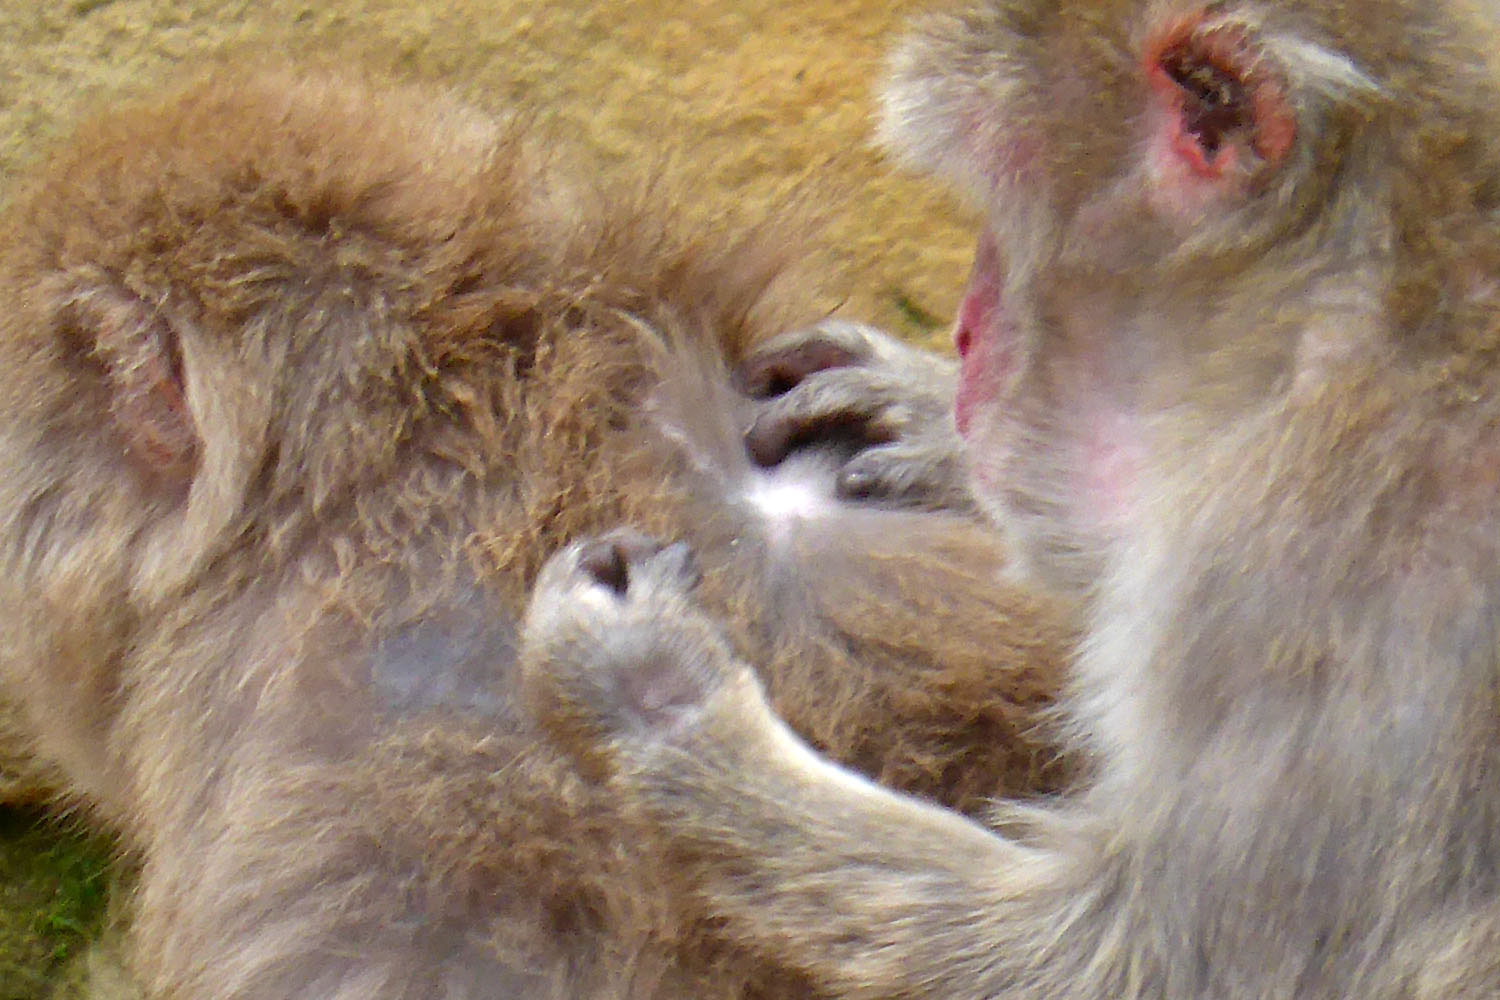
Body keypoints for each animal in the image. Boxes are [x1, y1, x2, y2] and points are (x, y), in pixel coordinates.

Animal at [521, 0, 1500, 997]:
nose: (963, 332)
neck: (1343, 310)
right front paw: (919, 418)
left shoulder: (1319, 563)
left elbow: (1154, 964)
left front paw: (651, 703)